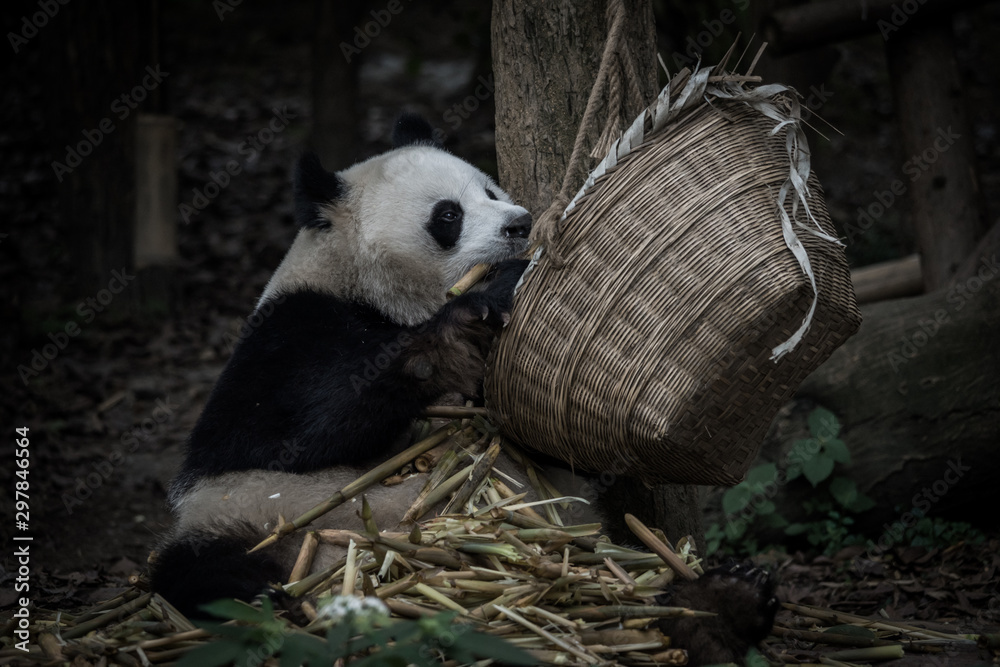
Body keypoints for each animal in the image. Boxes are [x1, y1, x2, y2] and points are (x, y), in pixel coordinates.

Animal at [150, 114, 778, 666]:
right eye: (447, 214)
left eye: (491, 188)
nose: (520, 223)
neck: (382, 294)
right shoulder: (288, 334)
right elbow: (297, 429)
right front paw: (467, 322)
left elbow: (554, 440)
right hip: (249, 518)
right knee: (199, 574)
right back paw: (274, 607)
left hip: (586, 555)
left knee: (642, 594)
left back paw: (725, 603)